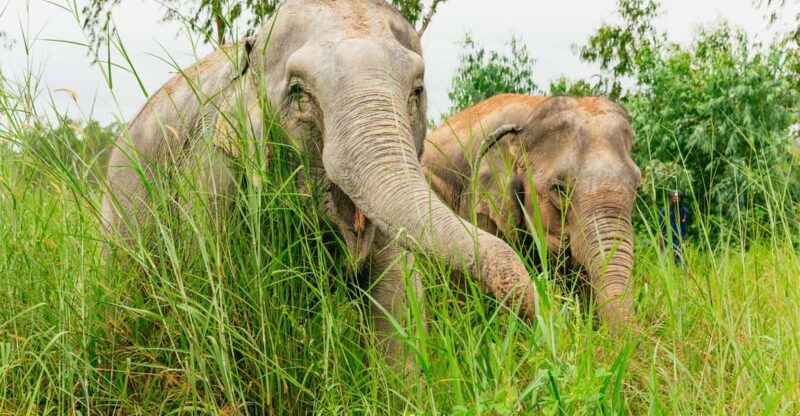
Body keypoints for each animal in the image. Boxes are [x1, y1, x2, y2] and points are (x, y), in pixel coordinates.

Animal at [100, 0, 536, 368]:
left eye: (416, 91)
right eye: (299, 93)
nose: (527, 309)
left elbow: (396, 299)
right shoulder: (212, 169)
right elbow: (208, 296)